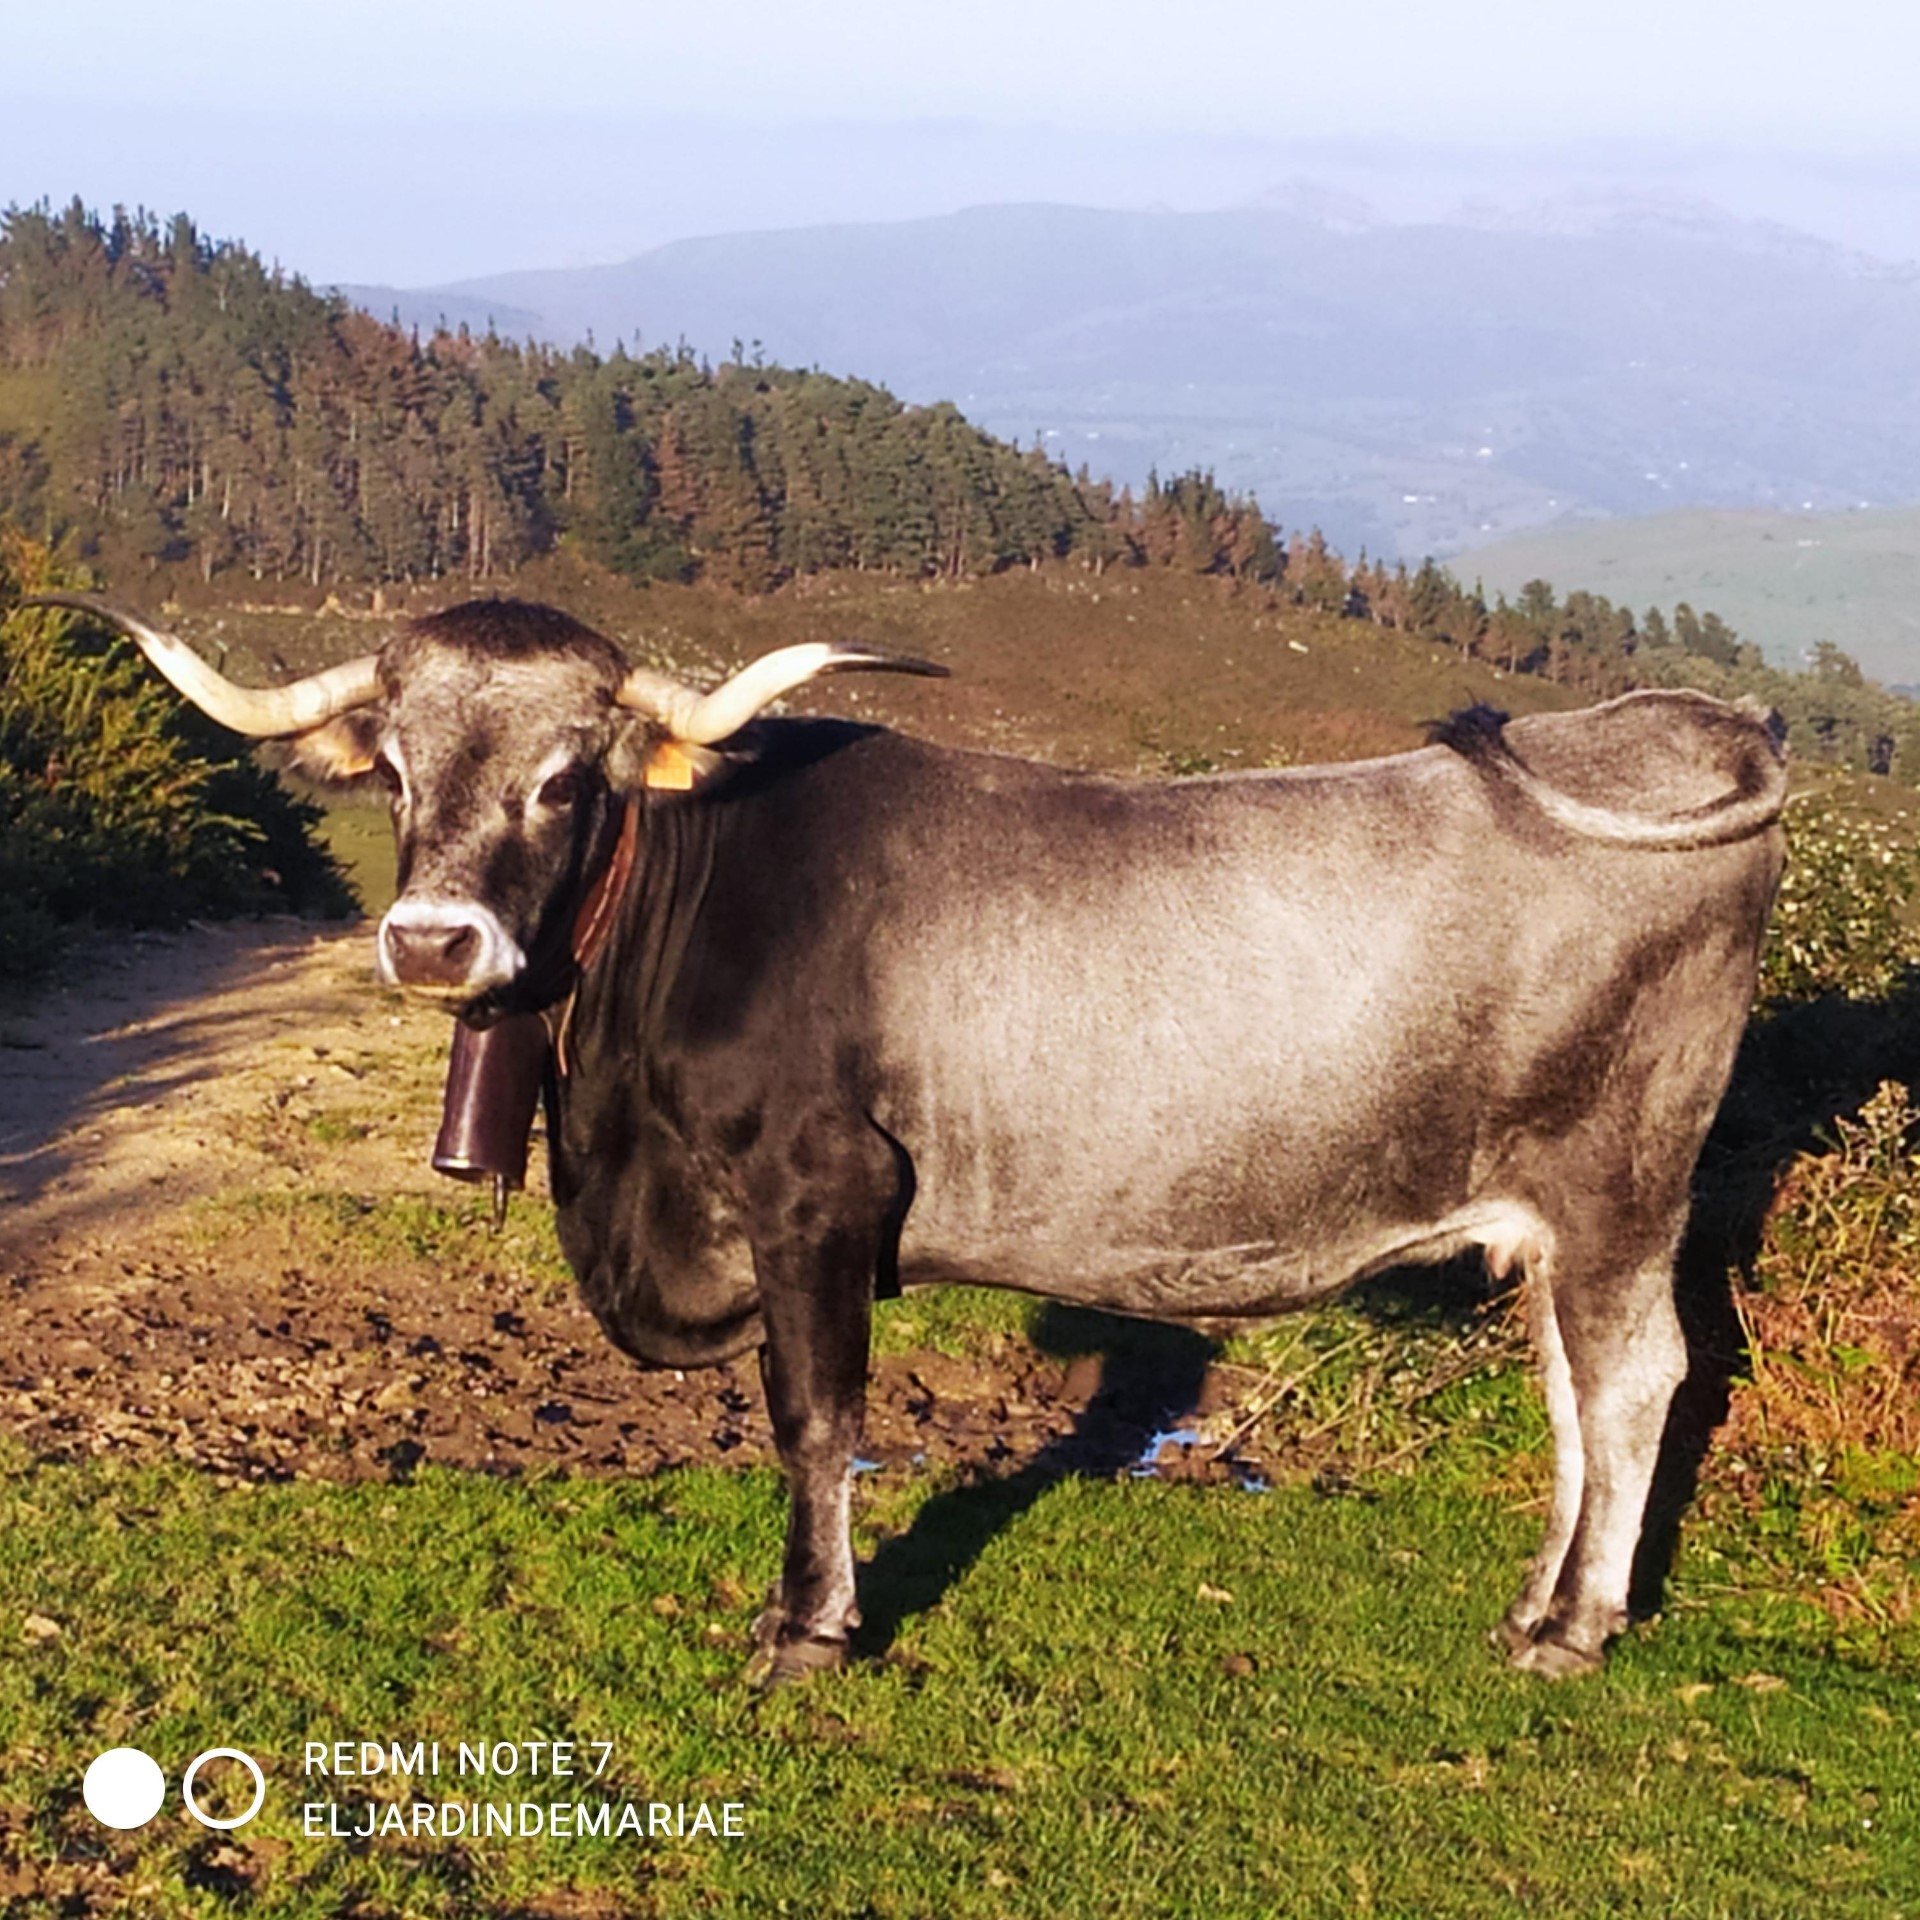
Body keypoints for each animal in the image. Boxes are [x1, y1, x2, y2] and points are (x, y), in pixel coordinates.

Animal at [32, 592, 1786, 1686]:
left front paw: (810, 1626)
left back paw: (1575, 1628)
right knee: (1570, 1392)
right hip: (1548, 1214)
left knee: (1634, 1380)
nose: (432, 942)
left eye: (566, 778)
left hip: (1624, 1180)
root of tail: (1684, 722)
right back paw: (1538, 1600)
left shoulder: (819, 1190)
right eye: (394, 767)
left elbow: (817, 1421)